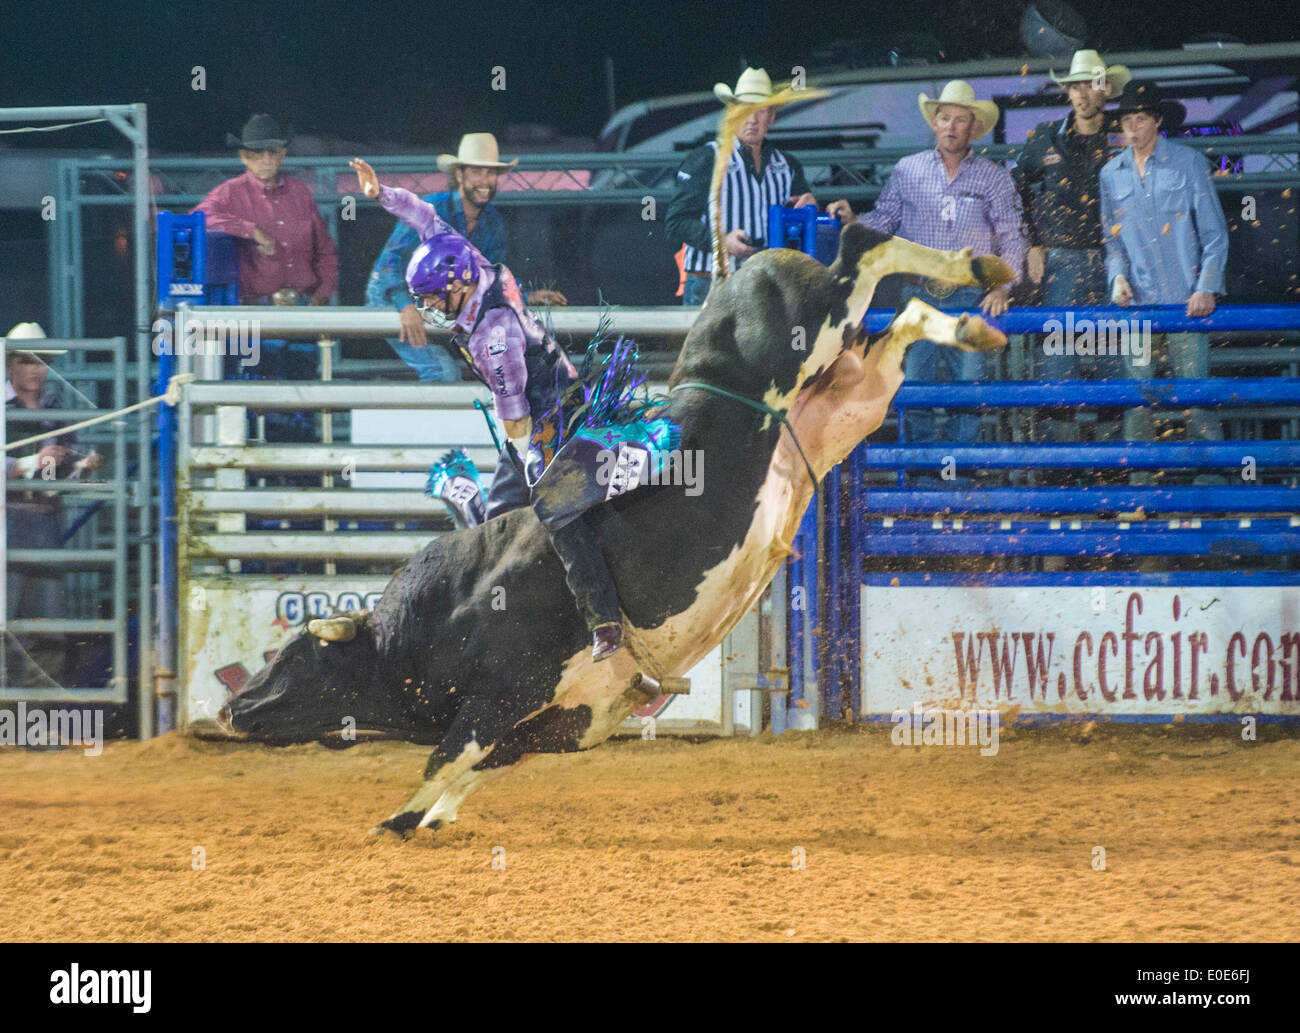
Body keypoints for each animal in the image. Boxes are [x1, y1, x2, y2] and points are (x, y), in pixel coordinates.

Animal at [207, 88, 1012, 837]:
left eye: (294, 657)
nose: (231, 708)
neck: (426, 624)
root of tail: (743, 267)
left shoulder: (500, 692)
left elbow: (443, 759)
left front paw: (397, 818)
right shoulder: (556, 722)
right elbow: (465, 772)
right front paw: (425, 819)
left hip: (817, 322)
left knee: (864, 246)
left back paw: (975, 264)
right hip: (847, 399)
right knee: (903, 321)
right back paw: (974, 317)